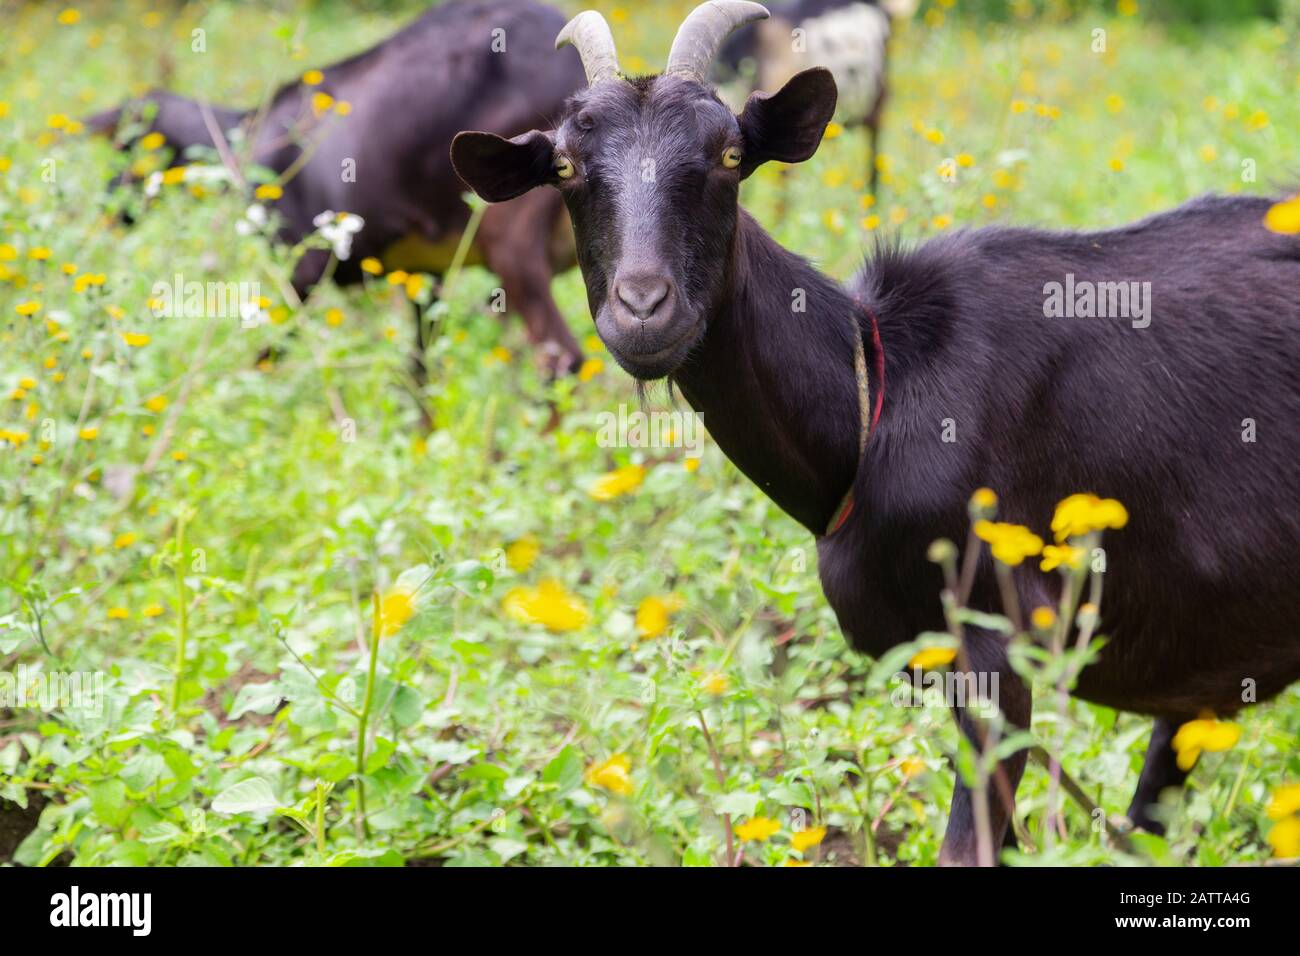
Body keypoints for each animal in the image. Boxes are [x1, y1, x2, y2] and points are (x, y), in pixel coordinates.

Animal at [89, 0, 587, 408]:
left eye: (130, 149)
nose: (106, 216)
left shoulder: (305, 265)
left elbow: (266, 353)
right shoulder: (425, 275)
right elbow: (420, 370)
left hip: (509, 234)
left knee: (563, 359)